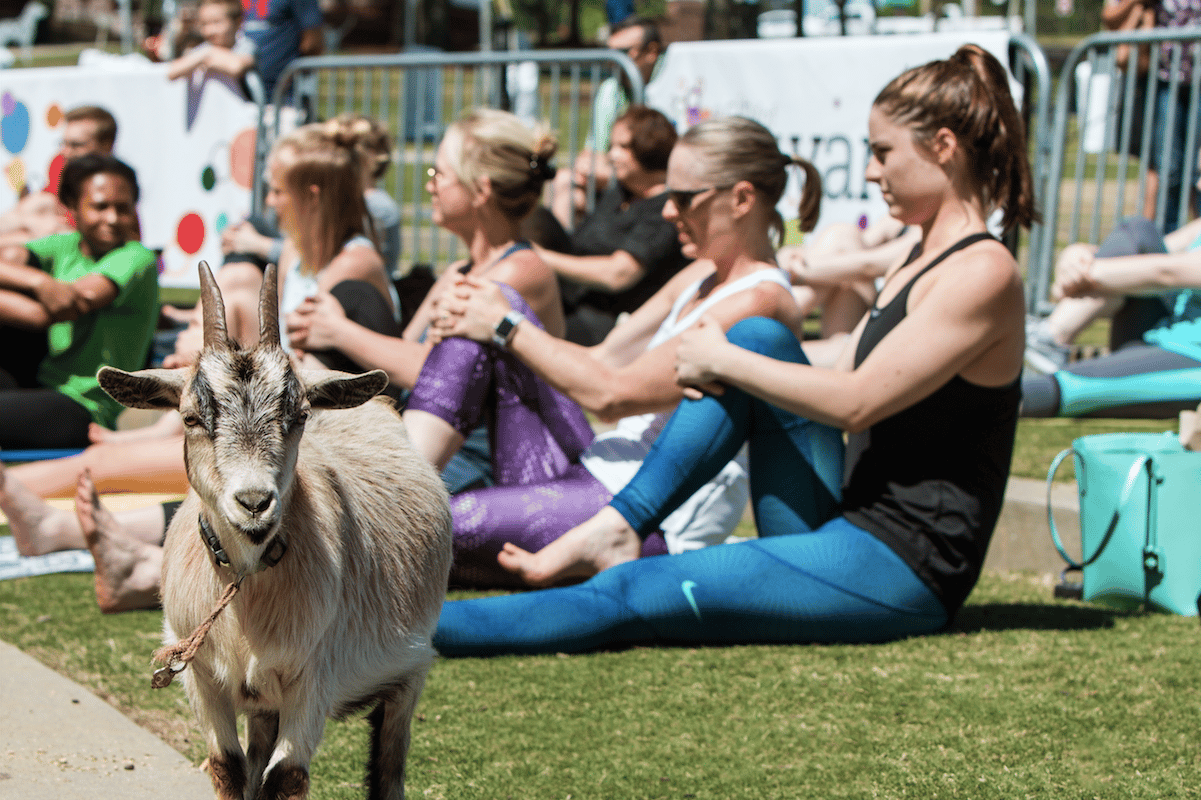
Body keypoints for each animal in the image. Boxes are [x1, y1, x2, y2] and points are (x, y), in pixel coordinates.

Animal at [98, 261, 452, 800]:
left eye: (300, 415)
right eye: (191, 418)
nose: (254, 503)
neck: (245, 594)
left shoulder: (313, 676)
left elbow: (284, 777)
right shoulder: (204, 678)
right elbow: (229, 767)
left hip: (411, 669)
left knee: (389, 763)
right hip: (264, 700)